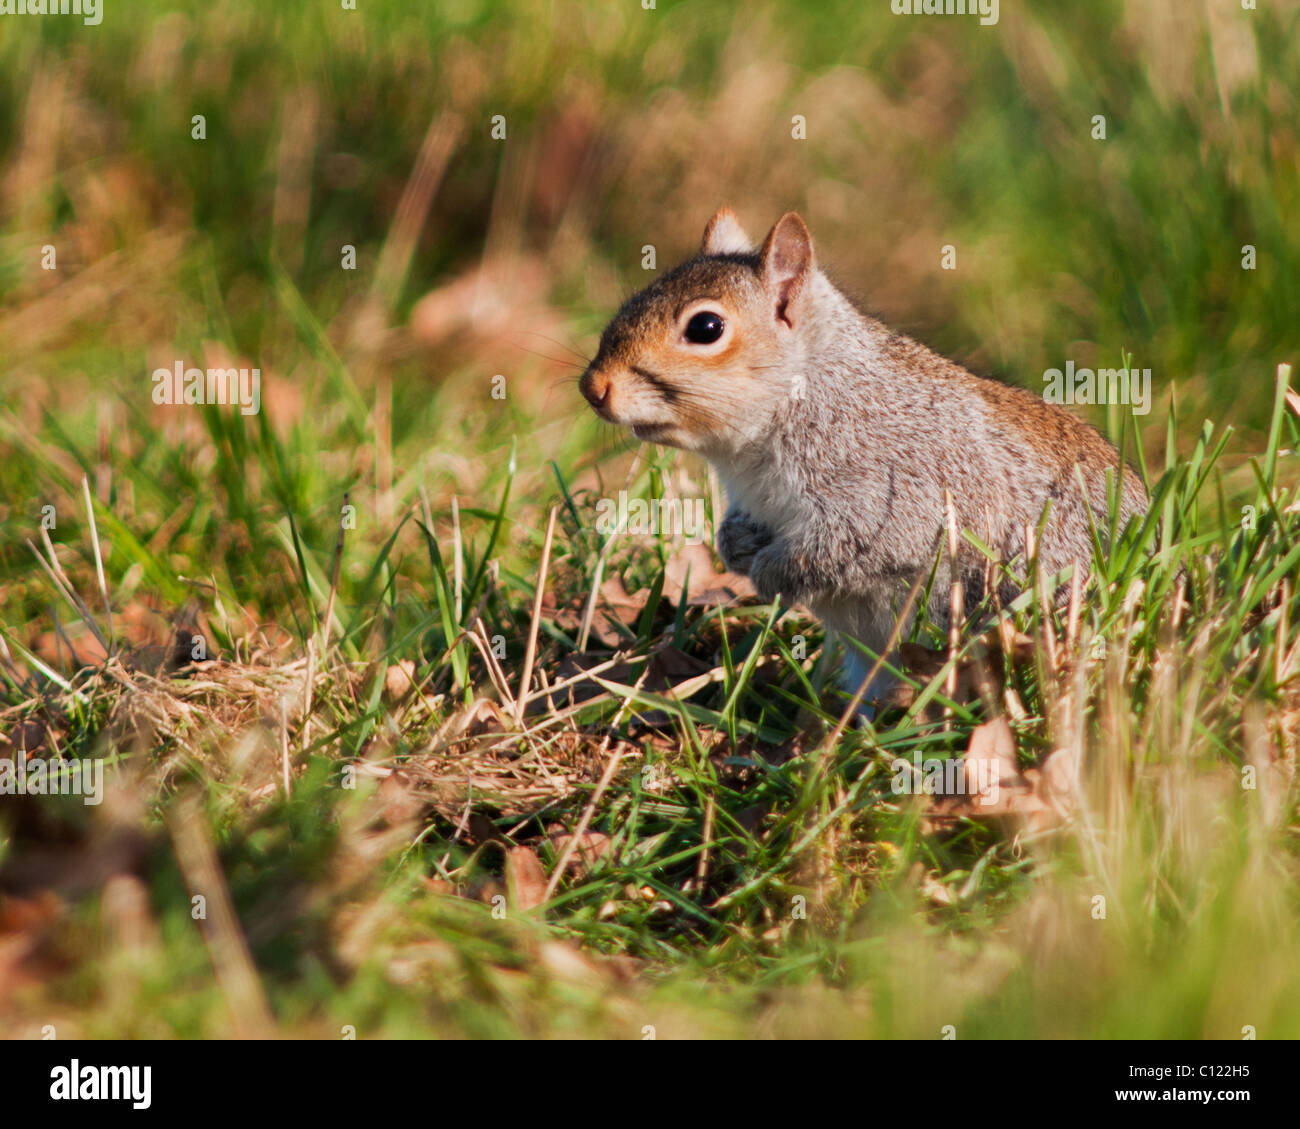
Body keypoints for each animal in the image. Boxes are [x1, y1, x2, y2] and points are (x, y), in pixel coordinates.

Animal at [580, 209, 1149, 710]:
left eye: (705, 328)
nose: (593, 387)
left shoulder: (899, 489)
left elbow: (851, 545)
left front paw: (772, 570)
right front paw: (737, 546)